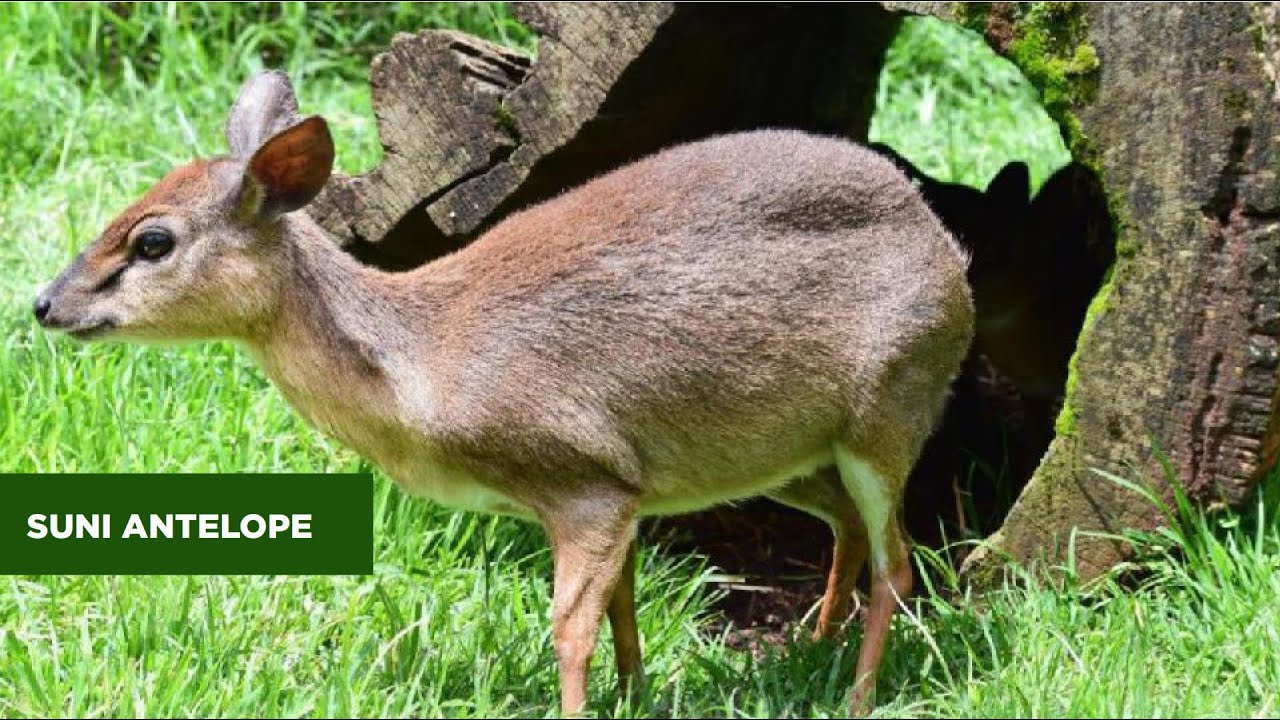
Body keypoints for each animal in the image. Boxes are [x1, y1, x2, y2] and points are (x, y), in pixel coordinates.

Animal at [35, 71, 974, 715]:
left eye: (154, 240)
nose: (46, 303)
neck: (422, 362)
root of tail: (947, 245)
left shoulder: (588, 482)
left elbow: (570, 627)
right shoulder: (628, 493)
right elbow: (622, 609)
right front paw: (637, 696)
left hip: (886, 415)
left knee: (899, 563)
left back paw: (853, 697)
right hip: (786, 456)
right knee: (851, 534)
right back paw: (809, 653)